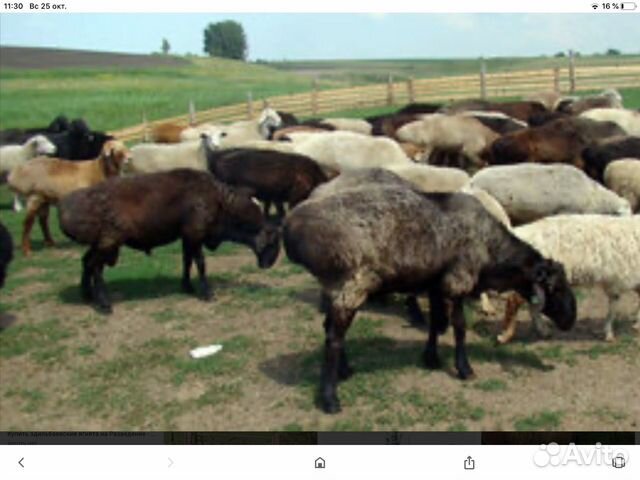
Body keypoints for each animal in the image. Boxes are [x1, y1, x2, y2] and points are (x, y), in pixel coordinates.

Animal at [58, 169, 281, 314]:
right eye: (273, 243)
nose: (268, 265)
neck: (220, 202)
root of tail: (65, 209)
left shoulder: (187, 236)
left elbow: (187, 260)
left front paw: (187, 287)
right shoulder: (195, 233)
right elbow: (200, 263)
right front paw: (207, 293)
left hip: (100, 243)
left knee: (87, 262)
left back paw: (87, 295)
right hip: (109, 242)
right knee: (96, 268)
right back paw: (104, 303)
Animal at [284, 185, 576, 413]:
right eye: (555, 287)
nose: (570, 320)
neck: (492, 253)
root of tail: (290, 226)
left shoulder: (436, 285)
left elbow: (436, 323)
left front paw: (431, 359)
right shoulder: (457, 282)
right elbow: (459, 327)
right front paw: (464, 368)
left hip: (337, 286)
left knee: (329, 329)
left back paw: (344, 372)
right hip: (352, 283)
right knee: (334, 338)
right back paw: (330, 398)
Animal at [497, 215, 640, 344]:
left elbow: (615, 304)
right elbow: (614, 306)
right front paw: (610, 333)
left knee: (532, 305)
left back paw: (543, 331)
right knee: (514, 301)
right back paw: (505, 336)